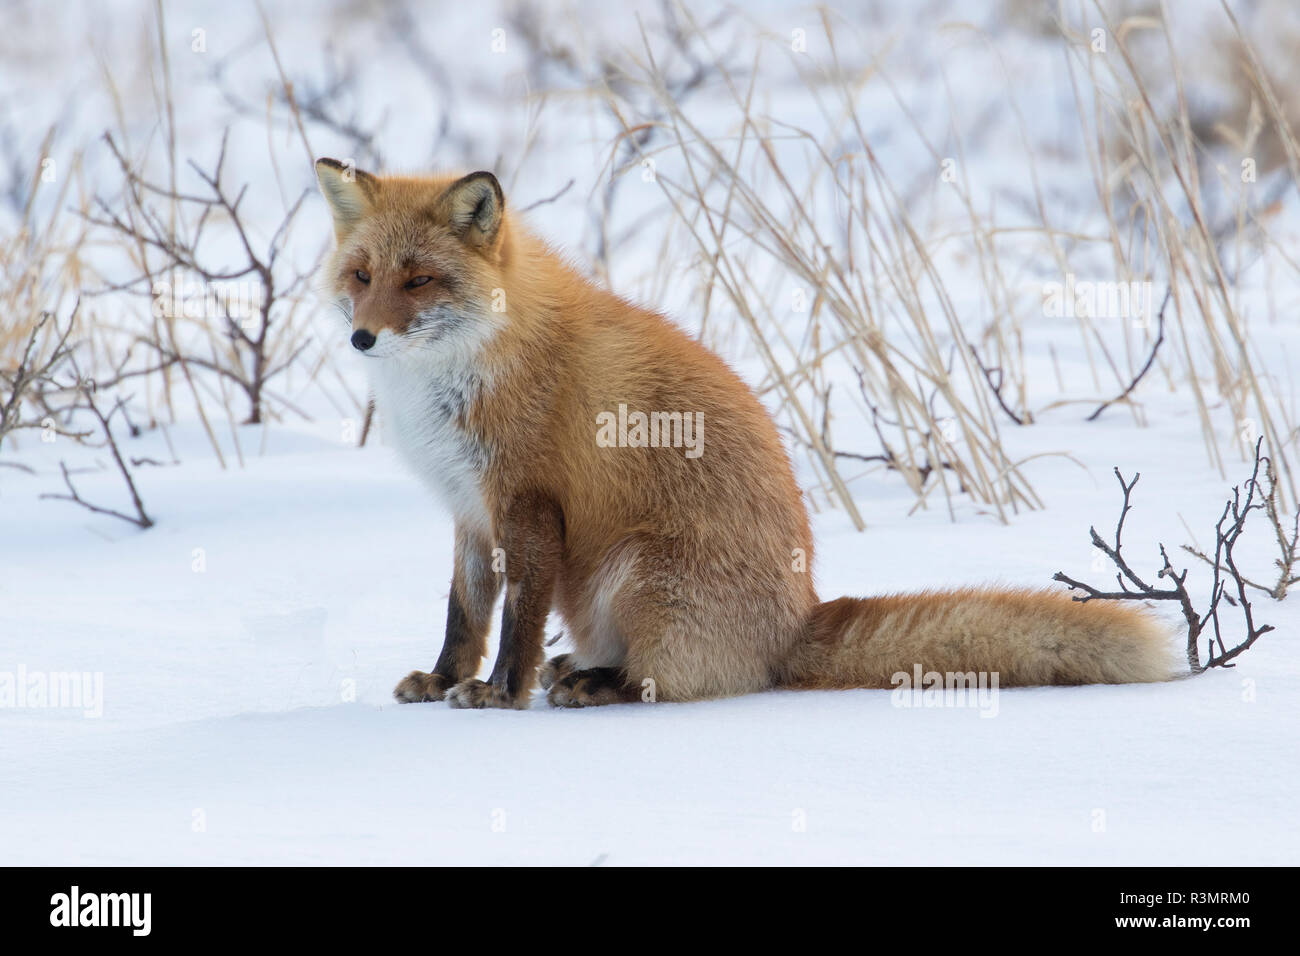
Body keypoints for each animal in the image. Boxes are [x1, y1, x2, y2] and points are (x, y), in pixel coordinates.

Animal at [314, 157, 1177, 709]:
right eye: (362, 276)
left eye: (420, 281)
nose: (361, 338)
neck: (469, 368)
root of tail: (796, 621)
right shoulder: (469, 507)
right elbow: (464, 613)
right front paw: (441, 680)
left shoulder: (527, 504)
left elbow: (516, 621)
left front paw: (498, 693)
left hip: (632, 573)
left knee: (668, 683)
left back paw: (596, 683)